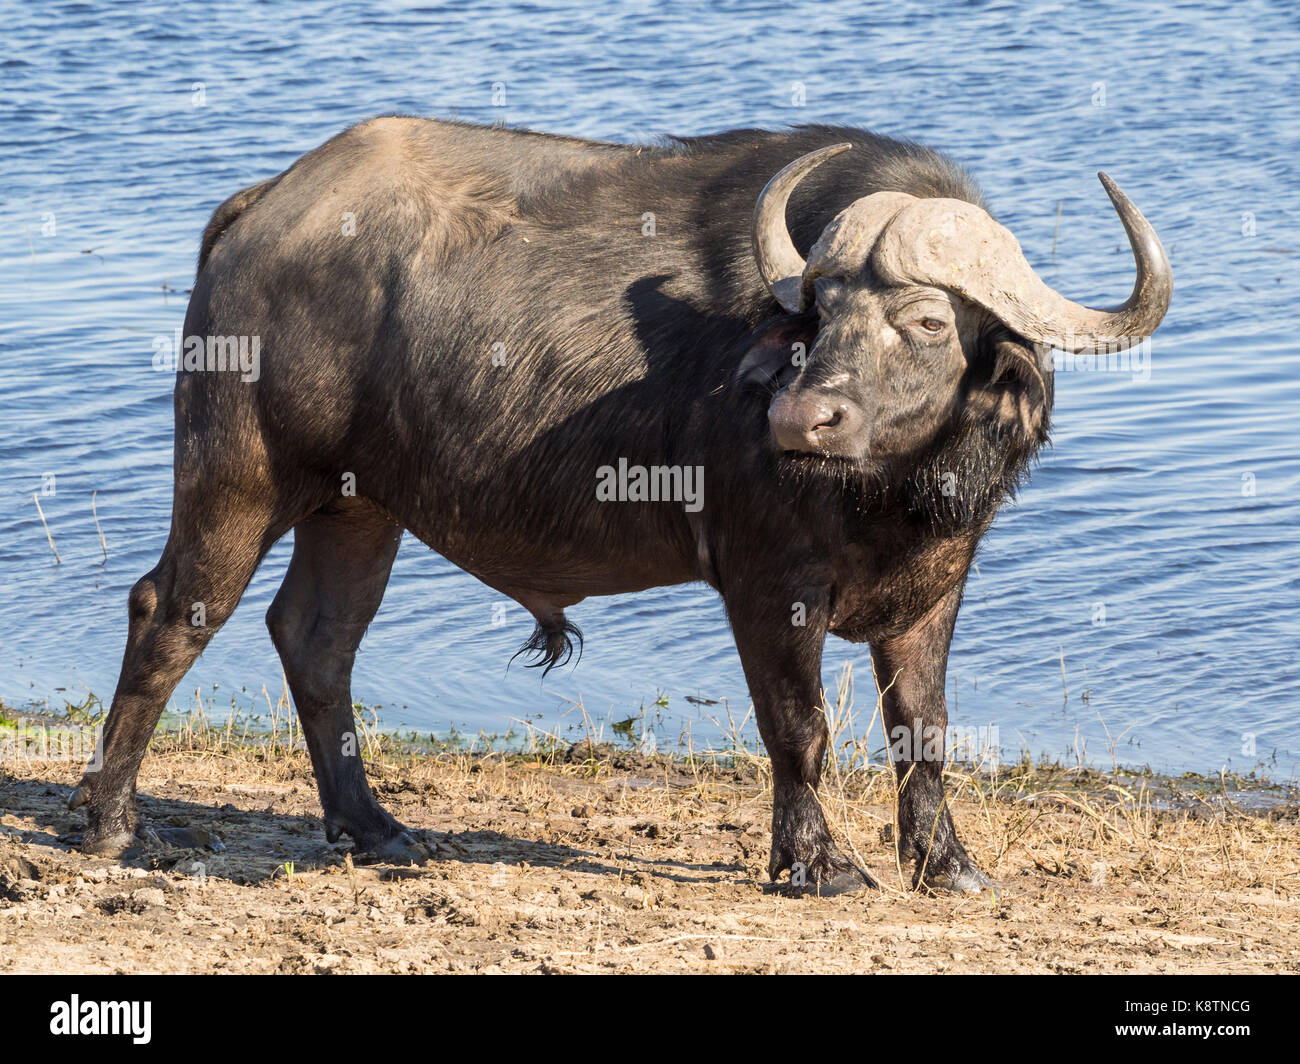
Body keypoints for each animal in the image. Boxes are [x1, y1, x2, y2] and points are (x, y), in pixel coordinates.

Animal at [71, 117, 1171, 893]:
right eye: (818, 312)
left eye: (929, 320)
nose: (798, 416)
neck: (885, 494)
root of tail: (264, 207)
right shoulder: (766, 587)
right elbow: (799, 728)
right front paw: (819, 863)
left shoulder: (936, 588)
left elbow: (924, 730)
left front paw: (947, 865)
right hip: (239, 475)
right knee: (171, 612)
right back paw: (112, 820)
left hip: (361, 508)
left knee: (315, 636)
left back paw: (374, 826)